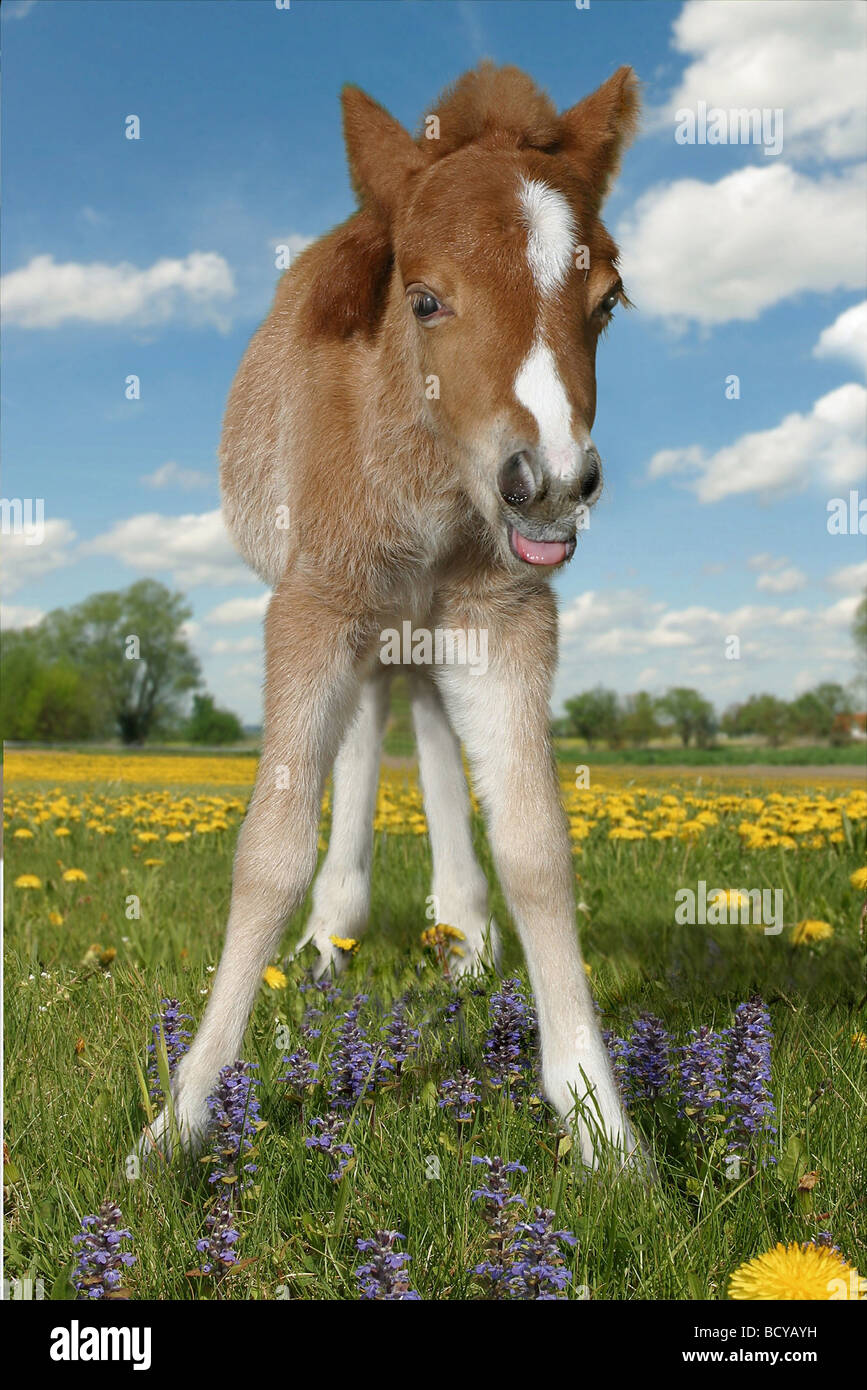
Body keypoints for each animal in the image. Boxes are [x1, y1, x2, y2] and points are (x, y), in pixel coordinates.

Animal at [140, 61, 641, 1168]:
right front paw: (178, 1120)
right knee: (373, 715)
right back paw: (336, 932)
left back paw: (463, 931)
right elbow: (270, 849)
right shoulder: (312, 604)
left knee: (419, 709)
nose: (551, 485)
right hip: (361, 611)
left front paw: (603, 1124)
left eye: (608, 302)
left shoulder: (504, 612)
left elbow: (538, 845)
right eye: (425, 299)